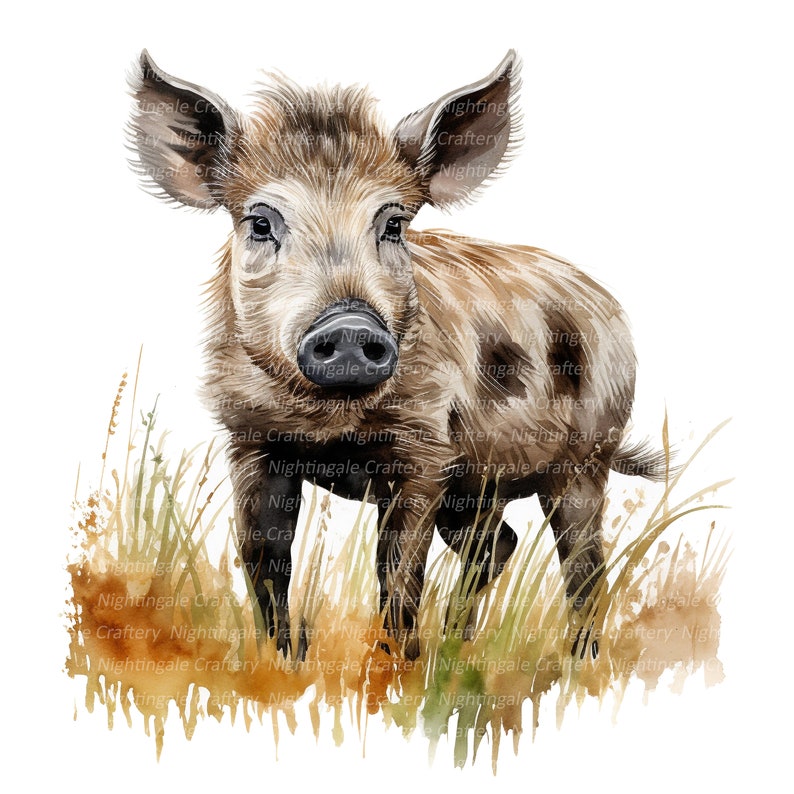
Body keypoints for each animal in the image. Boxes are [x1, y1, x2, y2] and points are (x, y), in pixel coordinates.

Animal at [129, 50, 667, 661]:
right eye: (261, 222)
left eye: (392, 223)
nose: (349, 324)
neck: (330, 427)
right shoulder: (250, 439)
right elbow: (264, 560)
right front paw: (283, 664)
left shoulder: (425, 450)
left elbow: (397, 568)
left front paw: (396, 667)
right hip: (481, 486)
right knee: (498, 544)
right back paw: (457, 648)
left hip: (584, 459)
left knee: (584, 564)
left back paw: (578, 664)